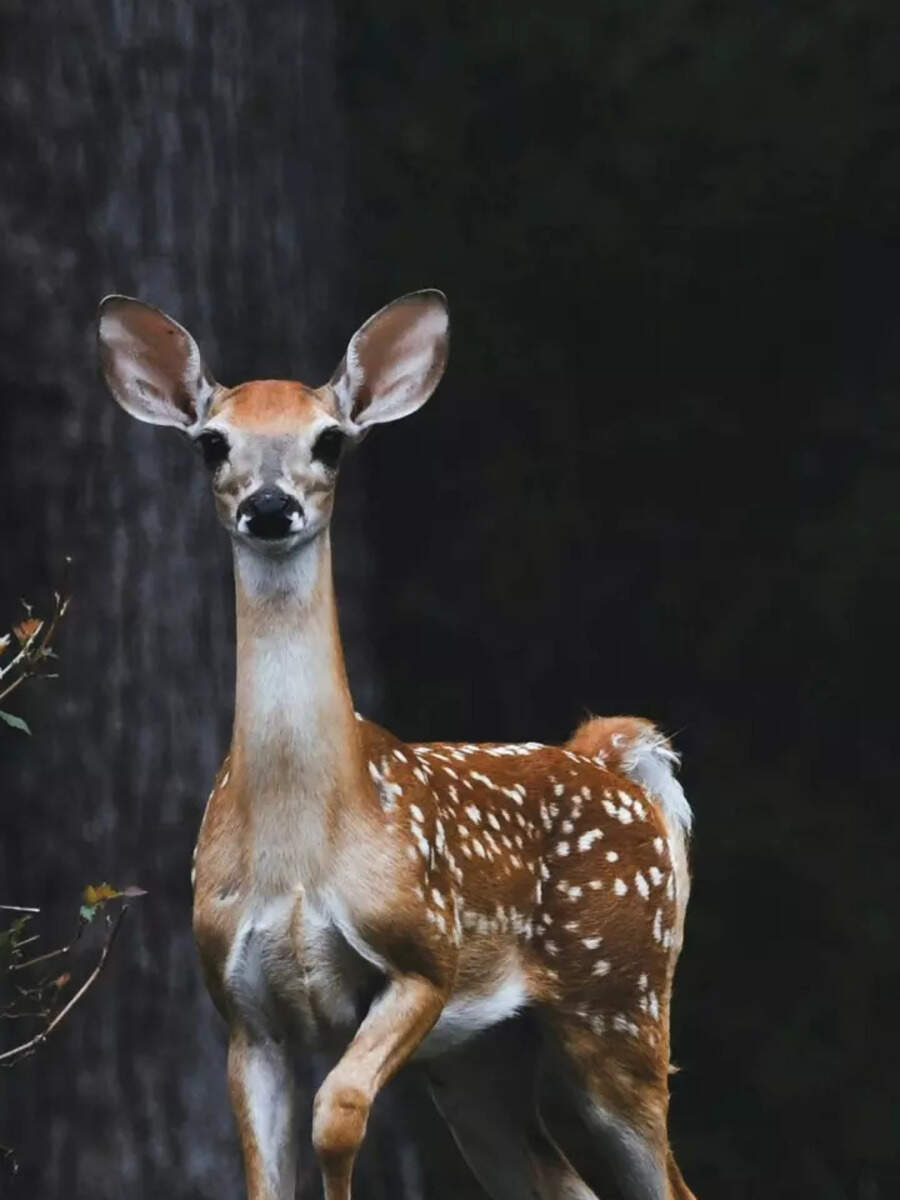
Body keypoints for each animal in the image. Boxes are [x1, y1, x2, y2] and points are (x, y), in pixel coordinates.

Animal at [97, 289, 698, 1200]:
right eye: (212, 443)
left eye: (329, 439)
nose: (268, 507)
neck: (300, 851)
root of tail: (611, 757)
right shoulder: (242, 1011)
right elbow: (267, 1172)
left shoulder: (423, 954)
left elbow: (339, 1113)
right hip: (482, 1057)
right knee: (562, 1181)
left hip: (620, 999)